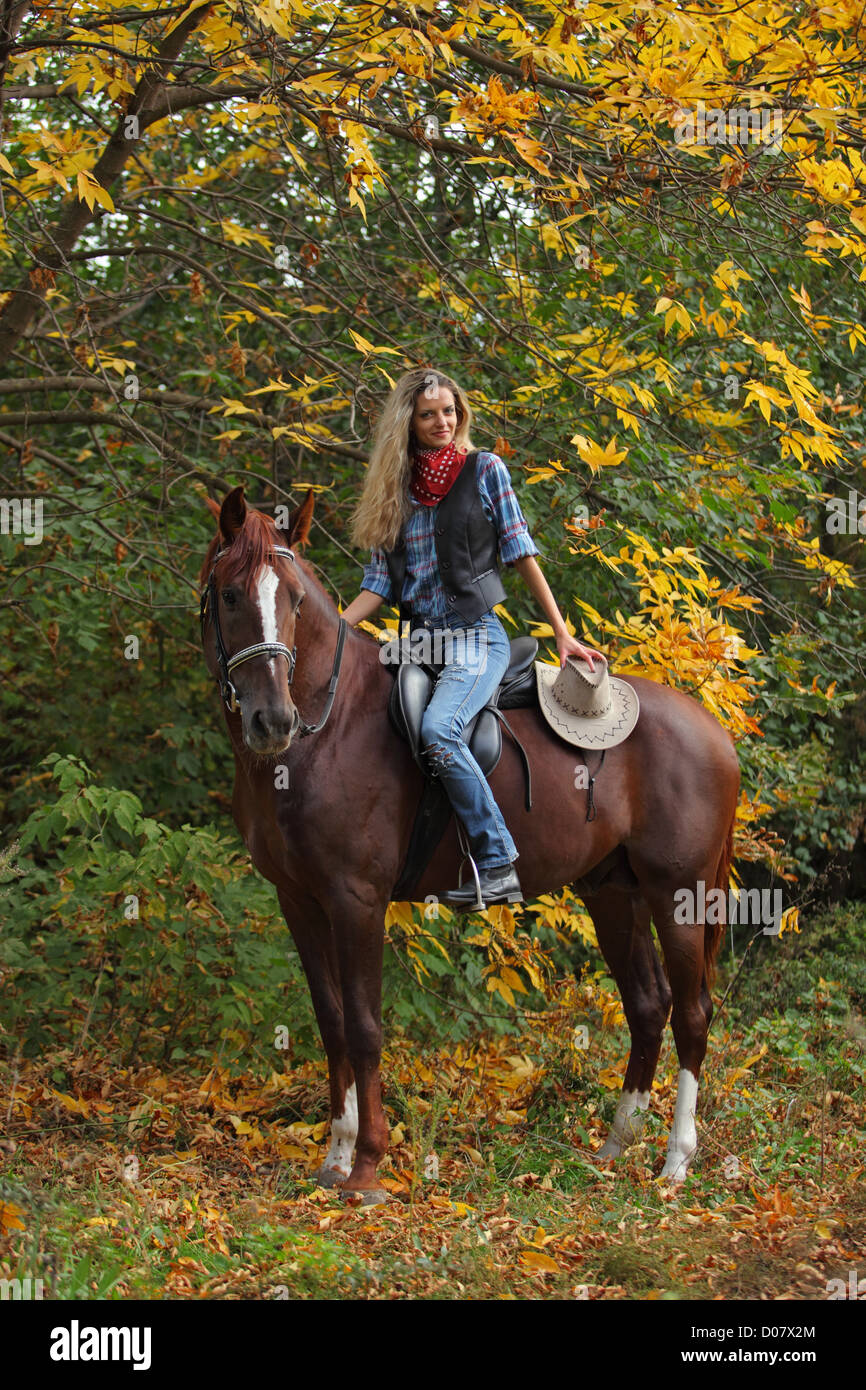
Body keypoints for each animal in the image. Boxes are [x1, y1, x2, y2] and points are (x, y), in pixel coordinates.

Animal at [198, 485, 740, 1202]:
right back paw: (615, 1144)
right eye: (230, 594)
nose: (273, 720)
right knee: (648, 1005)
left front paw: (367, 1167)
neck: (326, 728)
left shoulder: (356, 900)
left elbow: (365, 1027)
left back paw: (676, 1160)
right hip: (611, 893)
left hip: (678, 893)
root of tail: (714, 731)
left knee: (693, 1013)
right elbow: (331, 1021)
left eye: (293, 599)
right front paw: (335, 1157)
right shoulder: (299, 900)